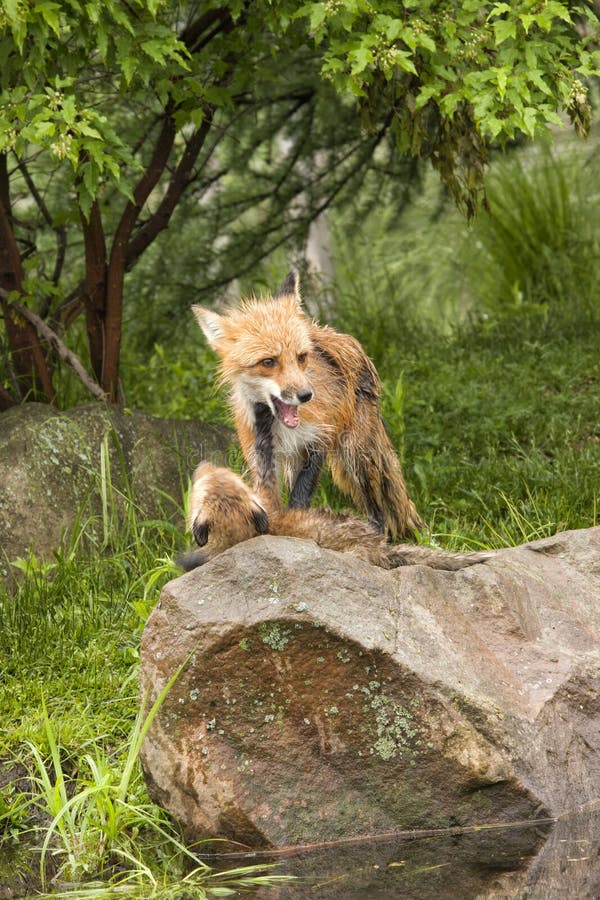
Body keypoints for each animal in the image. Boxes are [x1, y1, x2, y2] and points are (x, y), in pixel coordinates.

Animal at [192, 270, 423, 541]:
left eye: (301, 357)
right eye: (268, 362)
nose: (306, 395)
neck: (277, 426)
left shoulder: (319, 437)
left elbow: (300, 496)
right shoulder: (261, 454)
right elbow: (269, 501)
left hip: (357, 455)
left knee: (376, 508)